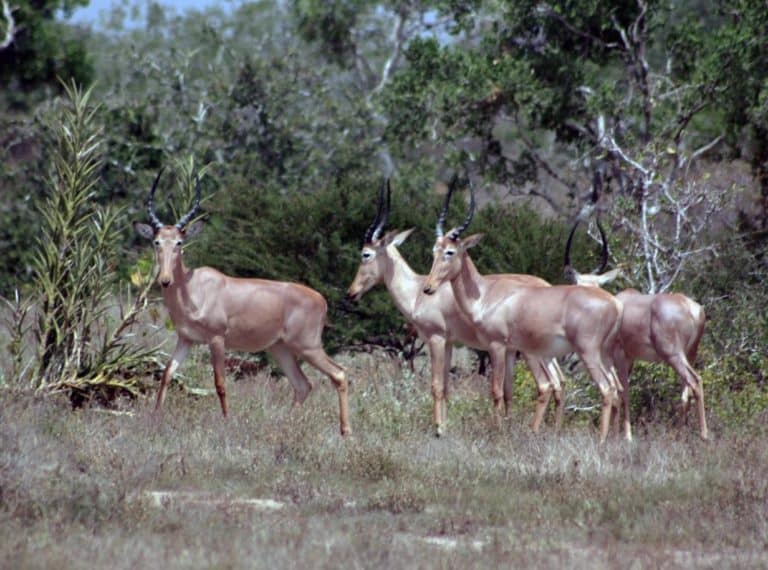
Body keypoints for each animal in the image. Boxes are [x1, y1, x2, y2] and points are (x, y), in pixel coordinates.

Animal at [133, 169, 351, 435]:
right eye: (157, 242)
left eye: (179, 242)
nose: (164, 280)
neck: (193, 287)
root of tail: (321, 299)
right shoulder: (186, 339)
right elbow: (167, 373)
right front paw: (155, 417)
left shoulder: (217, 339)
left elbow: (220, 383)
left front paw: (226, 421)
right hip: (280, 348)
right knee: (302, 384)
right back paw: (284, 426)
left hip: (308, 347)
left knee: (339, 374)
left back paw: (346, 432)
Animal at [347, 180, 566, 435]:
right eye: (433, 251)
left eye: (366, 254)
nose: (351, 293)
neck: (417, 291)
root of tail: (547, 286)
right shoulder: (450, 343)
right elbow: (447, 387)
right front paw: (445, 425)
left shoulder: (436, 339)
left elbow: (436, 386)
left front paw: (439, 429)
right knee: (558, 382)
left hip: (529, 351)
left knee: (546, 384)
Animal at [422, 180, 624, 442]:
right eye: (434, 250)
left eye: (450, 251)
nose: (428, 287)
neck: (487, 294)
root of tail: (615, 304)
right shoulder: (510, 350)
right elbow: (508, 391)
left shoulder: (497, 346)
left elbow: (496, 391)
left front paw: (497, 433)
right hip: (603, 355)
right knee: (616, 388)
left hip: (586, 353)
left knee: (605, 389)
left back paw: (599, 441)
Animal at [564, 218, 708, 440]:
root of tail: (691, 307)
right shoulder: (629, 358)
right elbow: (621, 390)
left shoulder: (618, 356)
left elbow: (622, 390)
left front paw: (624, 437)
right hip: (690, 355)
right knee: (686, 390)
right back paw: (679, 435)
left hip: (673, 355)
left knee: (695, 381)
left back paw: (703, 435)